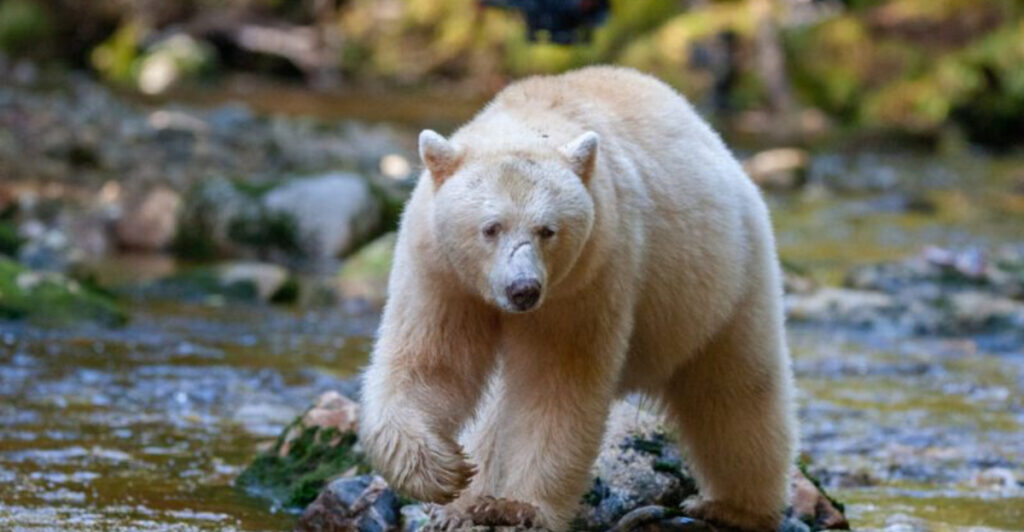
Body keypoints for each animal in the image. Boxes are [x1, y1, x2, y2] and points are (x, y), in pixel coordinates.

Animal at [359, 66, 797, 531]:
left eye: (547, 230)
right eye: (491, 227)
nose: (523, 289)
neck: (531, 118)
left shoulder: (587, 280)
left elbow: (557, 385)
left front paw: (521, 508)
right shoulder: (441, 274)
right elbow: (432, 361)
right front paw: (444, 474)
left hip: (725, 283)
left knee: (736, 391)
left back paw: (734, 507)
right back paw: (465, 507)